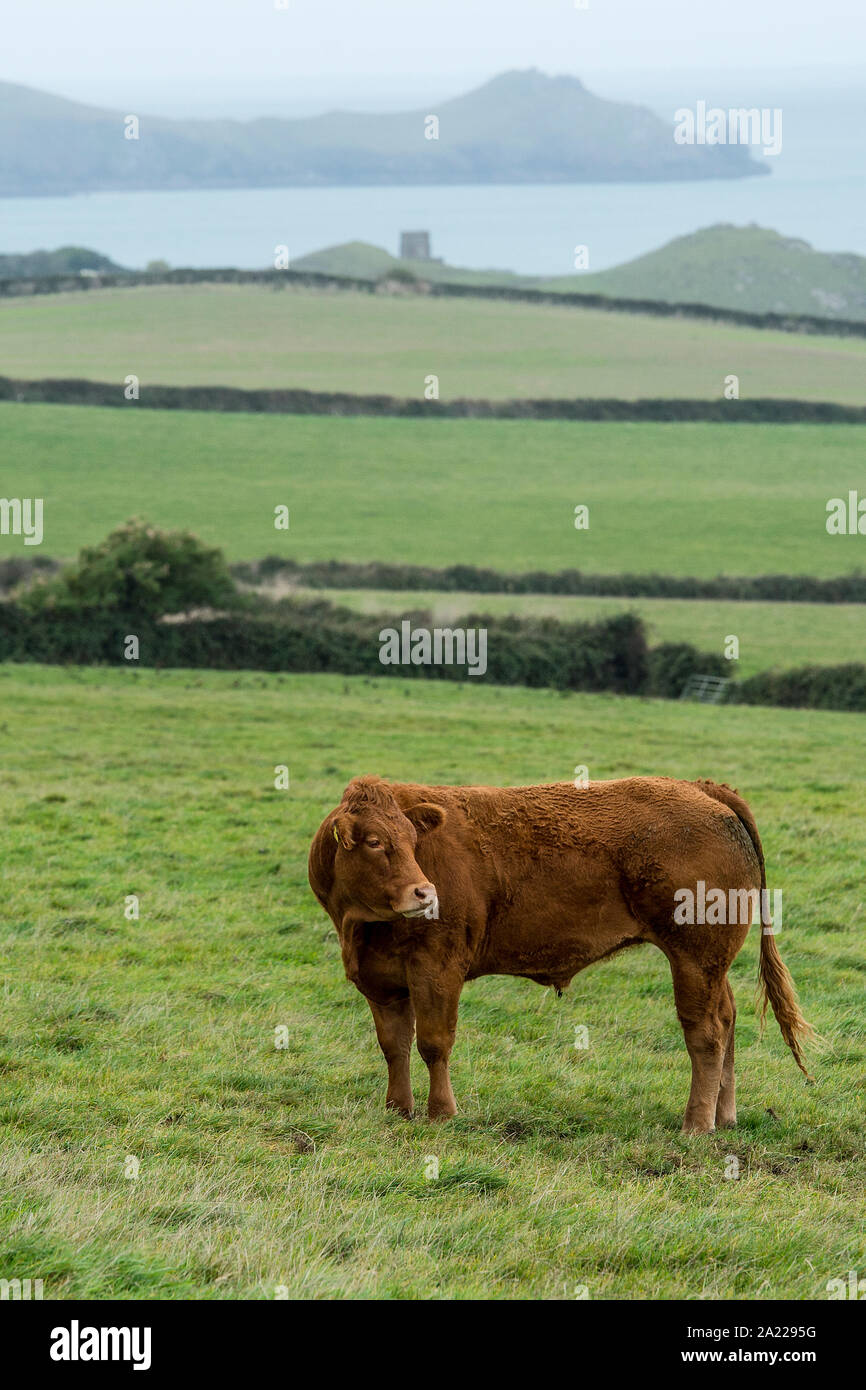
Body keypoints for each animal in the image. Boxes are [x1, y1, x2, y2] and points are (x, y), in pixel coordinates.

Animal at [308, 775, 812, 1133]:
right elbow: (394, 1045)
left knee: (705, 1033)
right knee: (726, 1021)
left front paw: (441, 1113)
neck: (361, 925)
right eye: (375, 842)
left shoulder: (437, 969)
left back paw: (696, 1123)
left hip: (694, 960)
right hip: (712, 966)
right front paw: (397, 1109)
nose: (424, 893)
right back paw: (724, 1116)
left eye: (413, 842)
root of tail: (702, 789)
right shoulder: (382, 982)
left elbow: (434, 1043)